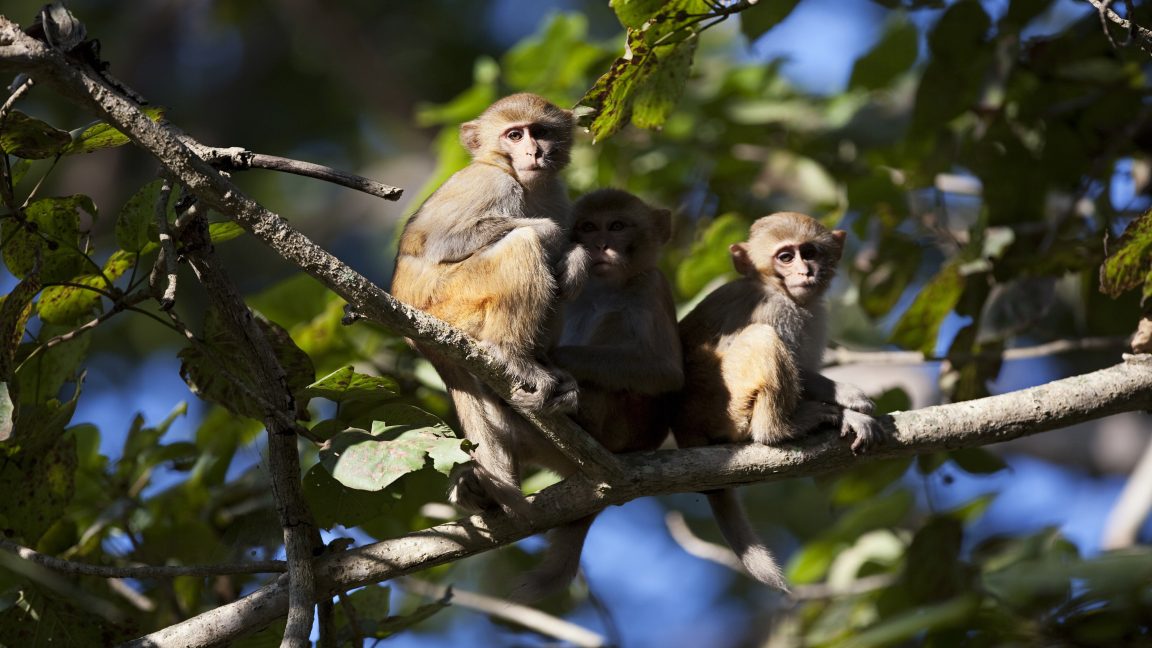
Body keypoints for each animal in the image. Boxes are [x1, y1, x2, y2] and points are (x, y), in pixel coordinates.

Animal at [390, 93, 589, 516]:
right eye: (514, 135)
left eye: (540, 131)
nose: (534, 152)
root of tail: (418, 340)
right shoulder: (490, 183)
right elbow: (439, 240)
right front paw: (549, 233)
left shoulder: (558, 195)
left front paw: (578, 258)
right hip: (453, 305)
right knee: (523, 245)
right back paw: (511, 354)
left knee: (560, 284)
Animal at [512, 188, 684, 599]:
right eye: (588, 228)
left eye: (617, 226)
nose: (600, 245)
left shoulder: (652, 285)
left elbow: (665, 371)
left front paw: (555, 362)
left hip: (625, 428)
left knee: (615, 323)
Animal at [673, 211, 883, 590]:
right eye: (785, 257)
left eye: (809, 252)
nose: (805, 271)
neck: (776, 288)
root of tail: (682, 426)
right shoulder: (775, 309)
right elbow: (796, 366)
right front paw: (848, 401)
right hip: (719, 400)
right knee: (762, 339)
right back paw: (781, 428)